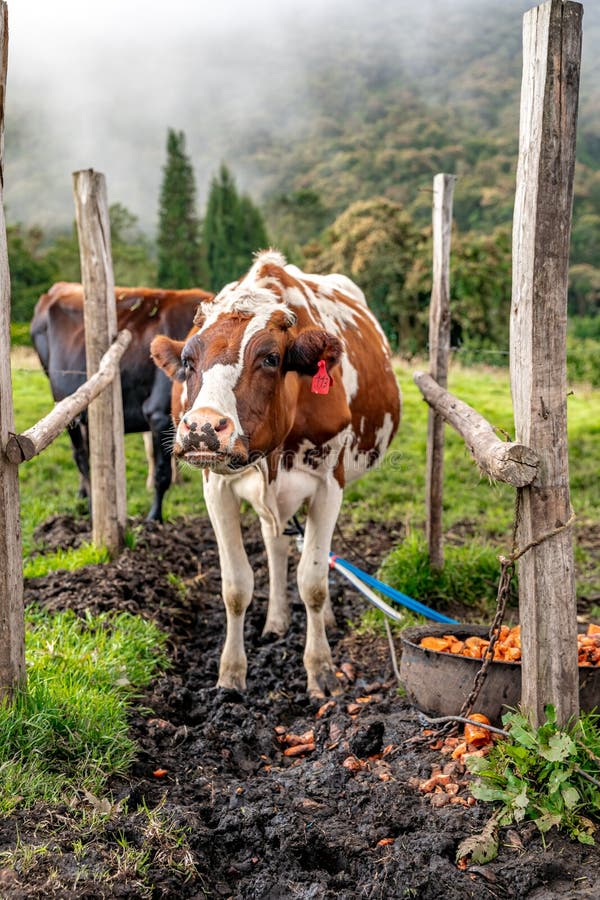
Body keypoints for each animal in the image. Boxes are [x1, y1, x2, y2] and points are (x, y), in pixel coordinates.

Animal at [150, 250, 401, 697]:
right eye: (188, 362)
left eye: (269, 358)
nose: (202, 427)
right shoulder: (216, 487)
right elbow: (236, 586)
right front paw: (231, 674)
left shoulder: (328, 485)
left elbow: (314, 581)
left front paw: (321, 669)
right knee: (276, 542)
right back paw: (277, 620)